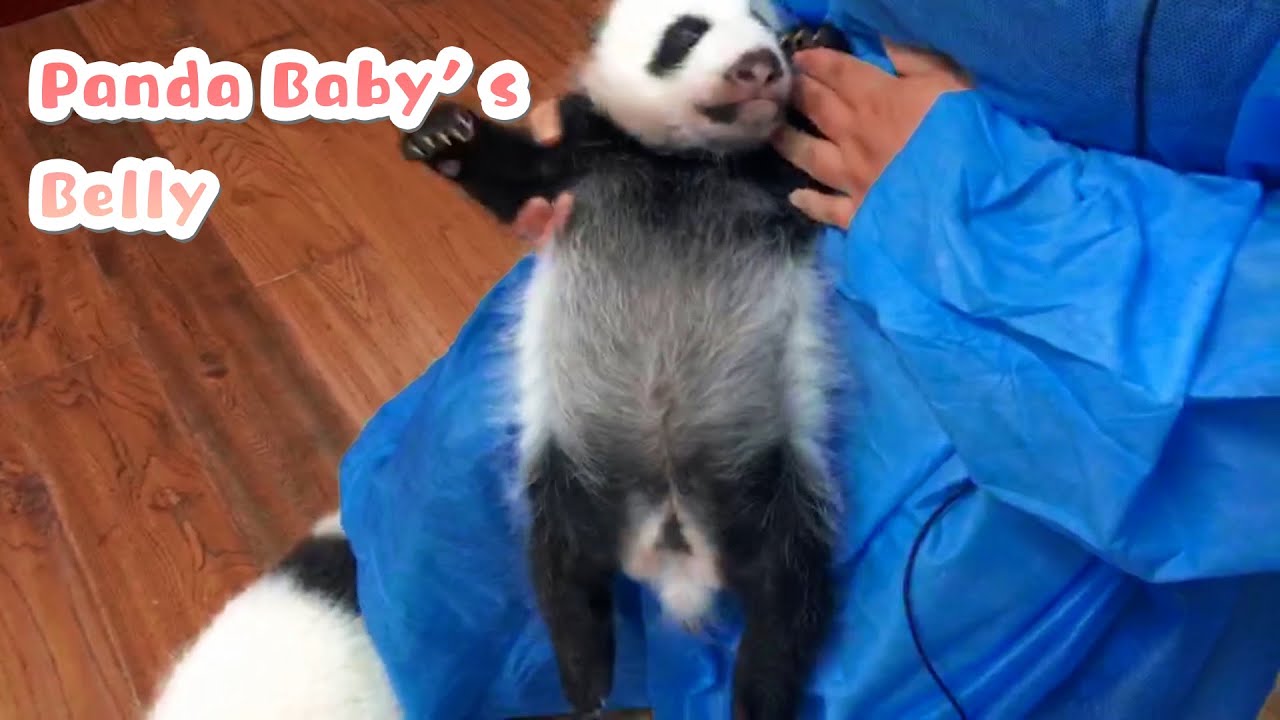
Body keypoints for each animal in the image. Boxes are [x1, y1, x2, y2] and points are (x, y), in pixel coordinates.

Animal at [403, 1, 851, 718]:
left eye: (761, 20)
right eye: (687, 33)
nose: (760, 64)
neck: (683, 161)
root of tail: (669, 526)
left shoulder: (773, 185)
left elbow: (815, 173)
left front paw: (817, 41)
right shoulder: (585, 156)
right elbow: (521, 184)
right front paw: (443, 136)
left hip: (770, 474)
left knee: (789, 591)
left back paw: (753, 693)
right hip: (572, 466)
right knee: (563, 575)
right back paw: (587, 678)